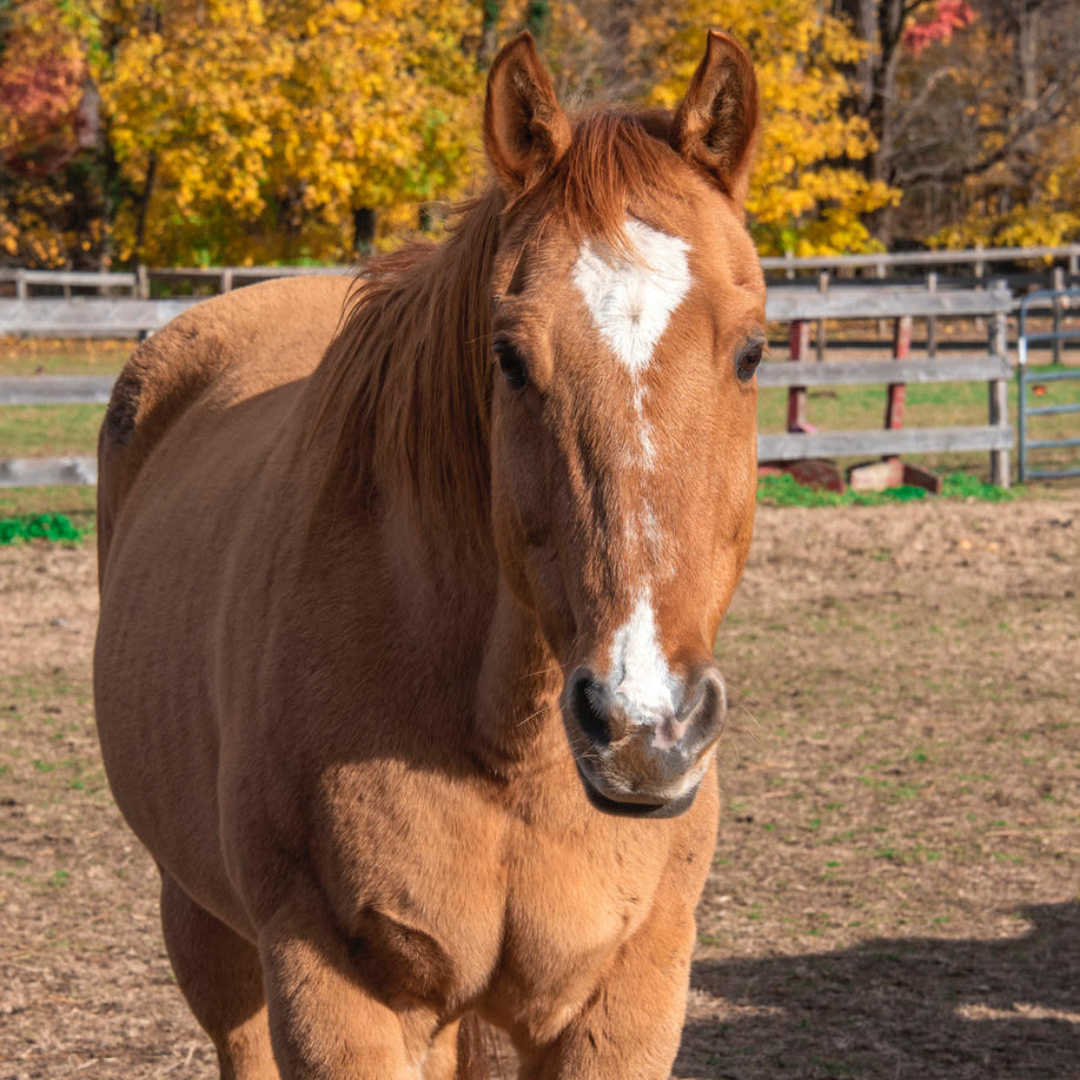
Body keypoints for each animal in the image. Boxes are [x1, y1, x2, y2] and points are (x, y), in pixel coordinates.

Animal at [93, 29, 764, 1080]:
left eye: (751, 352)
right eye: (510, 357)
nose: (642, 728)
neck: (504, 751)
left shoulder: (627, 996)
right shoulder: (337, 992)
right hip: (204, 925)